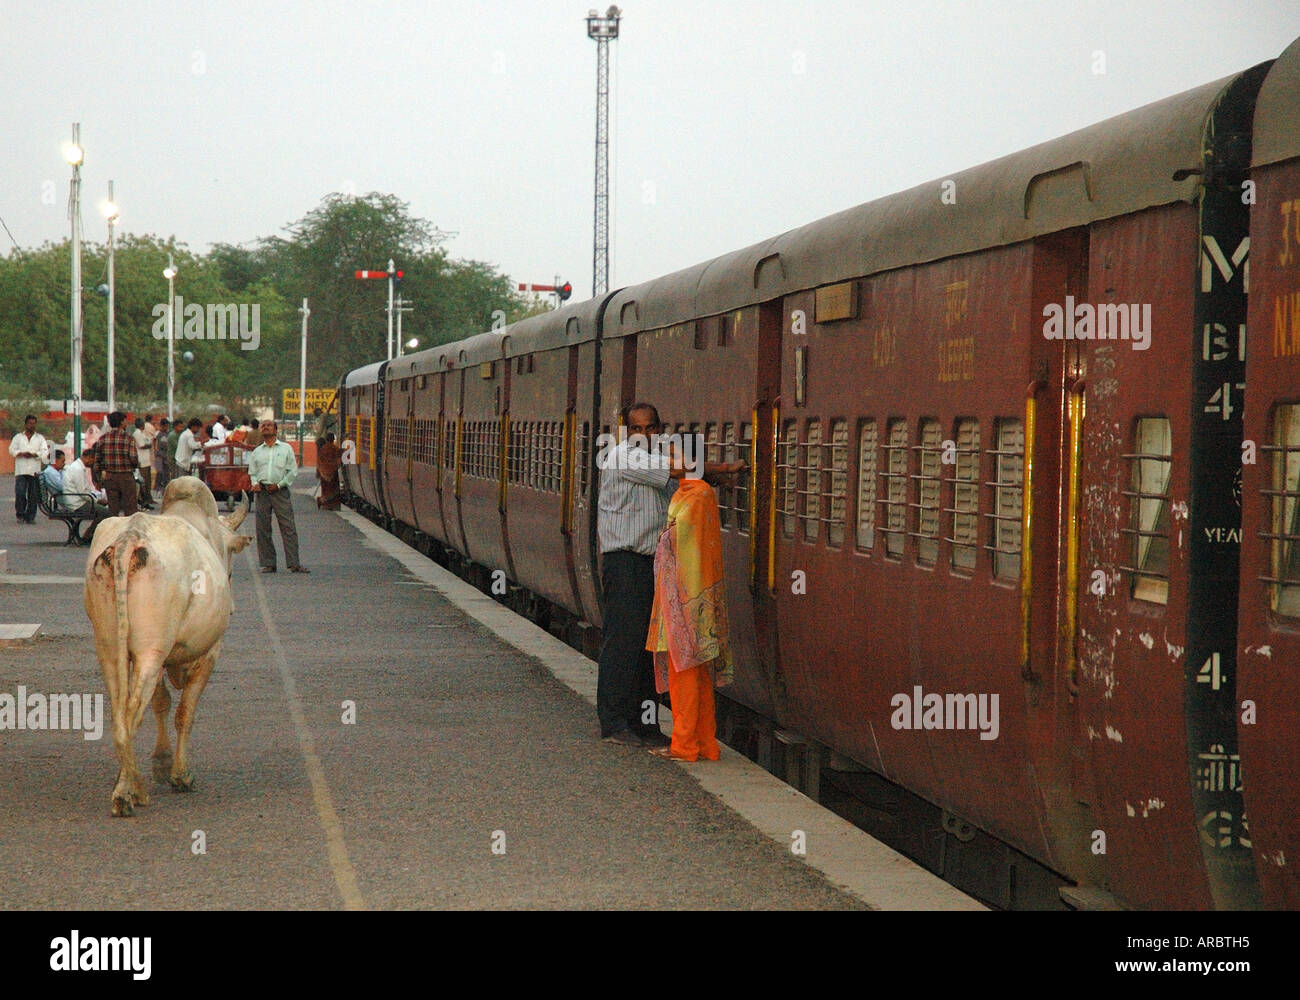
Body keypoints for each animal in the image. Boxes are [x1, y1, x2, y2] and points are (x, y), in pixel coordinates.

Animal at [84, 476, 251, 817]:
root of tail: (130, 537)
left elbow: (161, 703)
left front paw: (159, 763)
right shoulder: (210, 654)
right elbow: (185, 713)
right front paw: (179, 774)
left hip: (110, 650)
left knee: (120, 714)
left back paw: (128, 782)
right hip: (150, 652)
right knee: (133, 711)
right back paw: (129, 793)